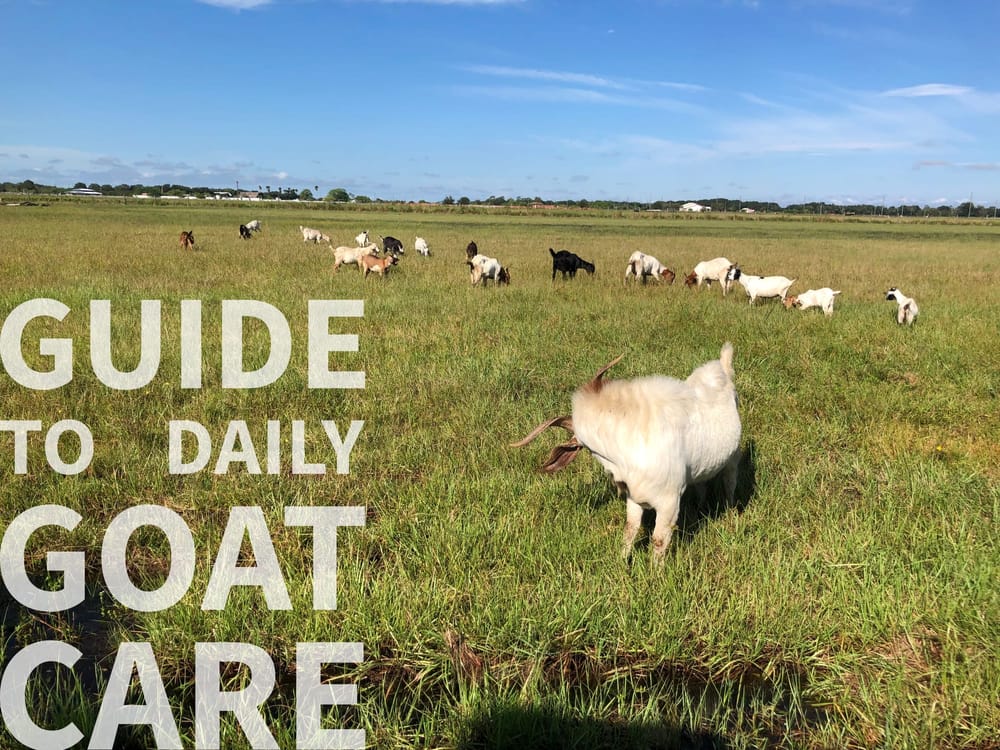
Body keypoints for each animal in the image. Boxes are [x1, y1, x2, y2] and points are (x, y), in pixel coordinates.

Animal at [512, 343, 741, 563]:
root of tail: (722, 366)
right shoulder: (634, 496)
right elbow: (629, 530)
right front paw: (622, 562)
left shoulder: (669, 502)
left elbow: (659, 540)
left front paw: (654, 571)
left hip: (734, 456)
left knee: (730, 482)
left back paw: (730, 513)